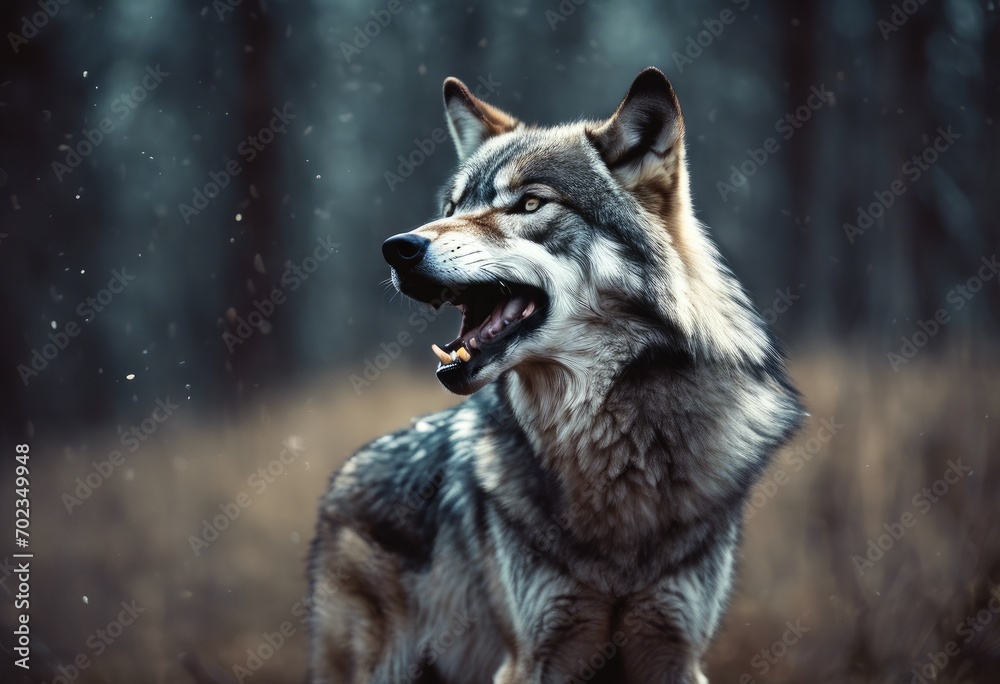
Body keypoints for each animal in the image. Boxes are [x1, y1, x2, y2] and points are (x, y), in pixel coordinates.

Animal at [308, 67, 804, 683]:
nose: (398, 248)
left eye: (529, 203)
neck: (613, 448)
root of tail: (346, 472)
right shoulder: (535, 656)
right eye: (452, 204)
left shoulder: (673, 651)